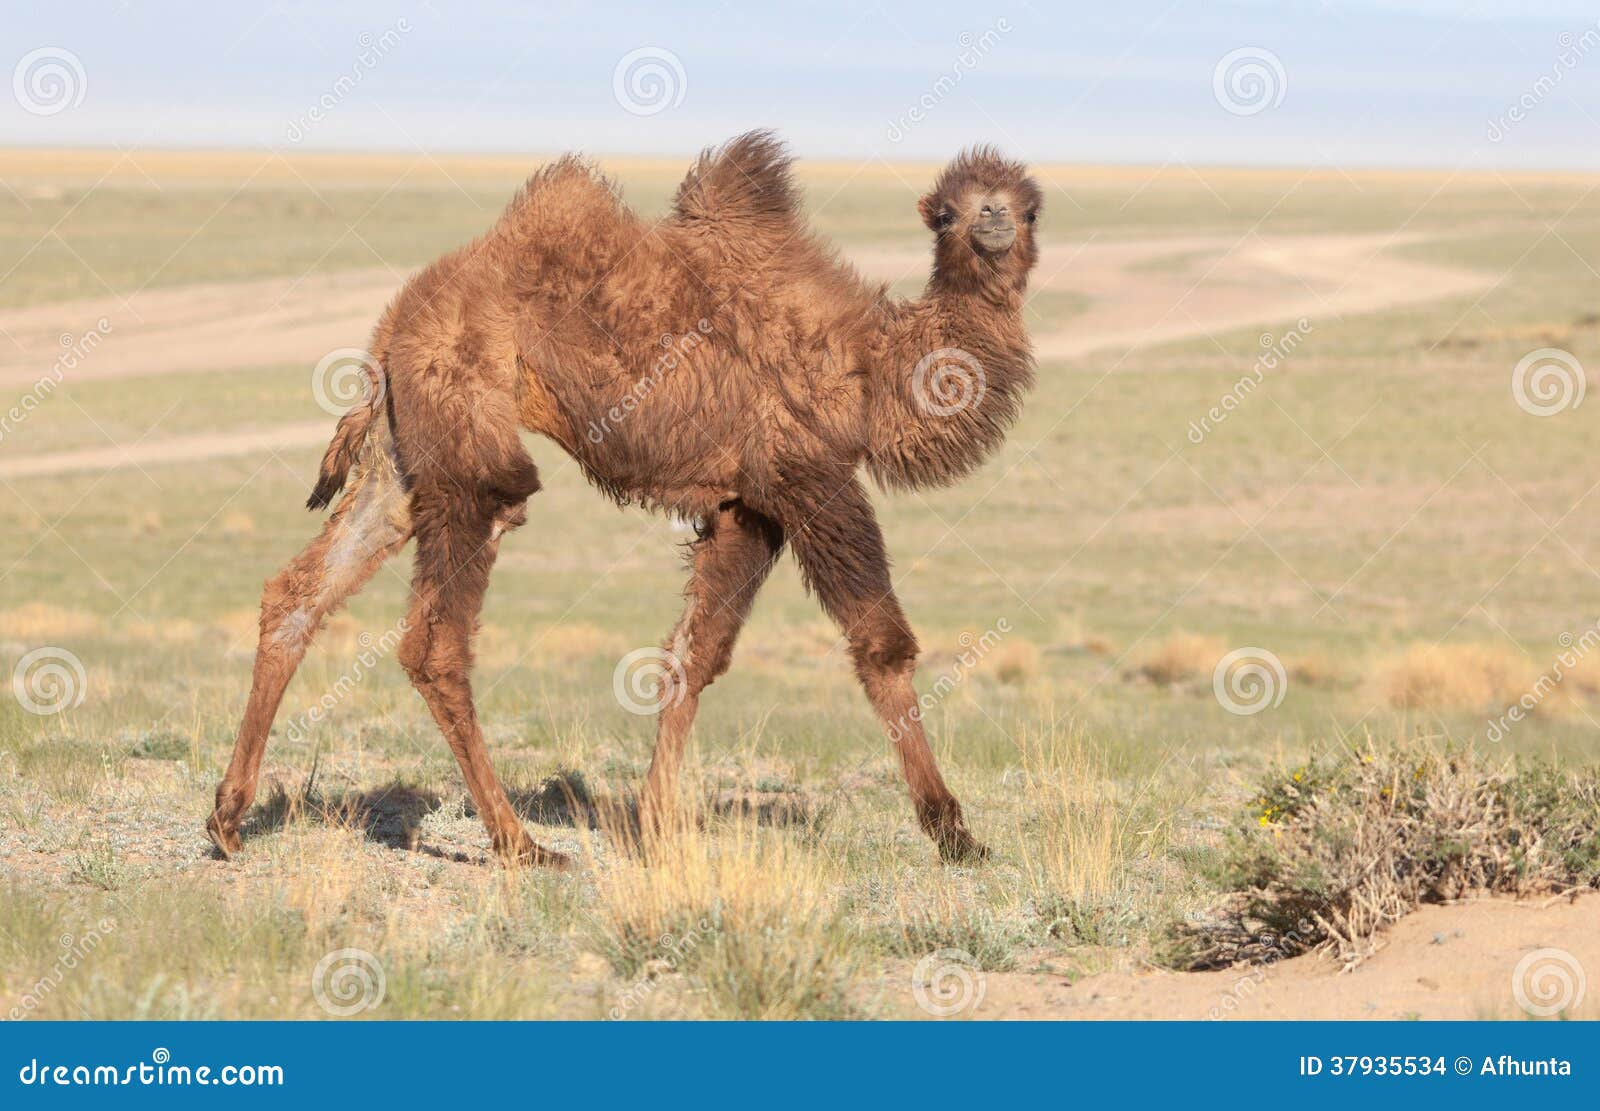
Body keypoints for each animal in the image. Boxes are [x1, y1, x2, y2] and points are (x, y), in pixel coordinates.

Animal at [207, 131, 1041, 867]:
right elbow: (881, 644)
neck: (876, 366)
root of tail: (396, 323)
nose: (993, 222)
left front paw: (656, 823)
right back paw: (521, 845)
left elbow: (694, 656)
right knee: (436, 639)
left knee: (301, 592)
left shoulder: (747, 505)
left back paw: (228, 817)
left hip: (406, 450)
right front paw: (955, 832)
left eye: (1025, 204)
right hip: (471, 439)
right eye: (950, 211)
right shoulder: (809, 474)